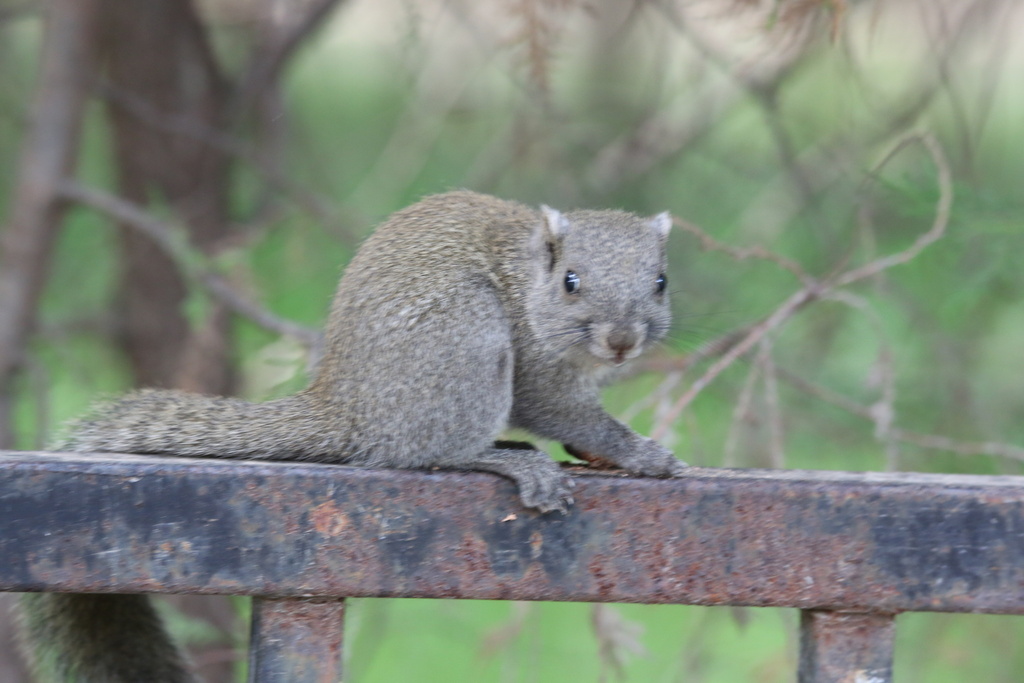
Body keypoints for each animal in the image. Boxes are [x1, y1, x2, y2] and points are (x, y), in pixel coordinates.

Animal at [20, 191, 686, 682]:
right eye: (571, 281)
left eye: (660, 282)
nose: (622, 341)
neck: (531, 281)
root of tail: (349, 409)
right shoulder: (536, 367)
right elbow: (560, 410)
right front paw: (639, 452)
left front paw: (605, 452)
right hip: (462, 340)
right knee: (430, 452)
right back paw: (509, 459)